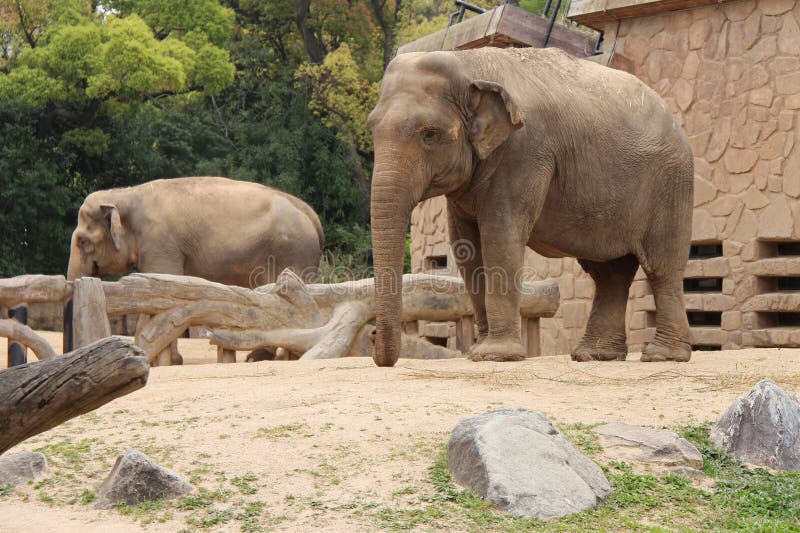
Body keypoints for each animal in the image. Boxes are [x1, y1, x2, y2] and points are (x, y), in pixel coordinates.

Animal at [67, 177, 324, 360]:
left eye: (83, 242)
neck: (126, 194)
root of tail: (311, 214)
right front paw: (171, 360)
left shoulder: (160, 243)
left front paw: (147, 357)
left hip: (293, 252)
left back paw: (261, 357)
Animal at [368, 47, 693, 367]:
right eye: (372, 129)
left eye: (430, 134)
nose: (372, 340)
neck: (470, 65)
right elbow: (466, 247)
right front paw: (479, 352)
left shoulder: (524, 153)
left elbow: (500, 237)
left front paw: (495, 355)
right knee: (610, 273)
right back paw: (595, 355)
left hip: (670, 184)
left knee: (661, 266)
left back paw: (662, 356)